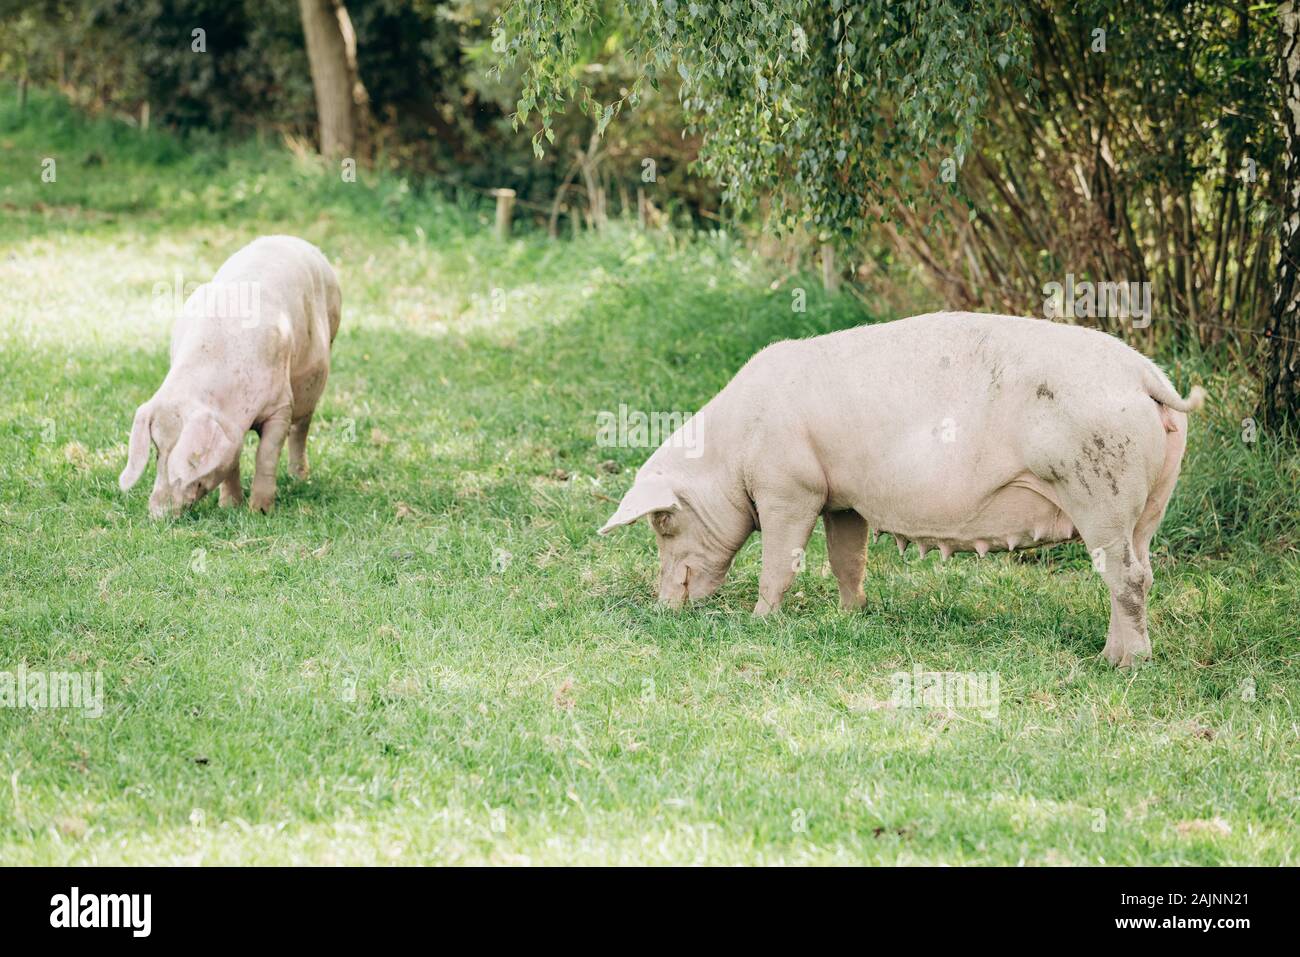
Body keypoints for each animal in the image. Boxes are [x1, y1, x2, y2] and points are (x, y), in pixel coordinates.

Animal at [119, 235, 341, 517]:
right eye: (157, 450)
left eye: (191, 458)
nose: (157, 513)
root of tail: (292, 239)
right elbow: (232, 460)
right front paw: (229, 507)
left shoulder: (281, 405)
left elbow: (266, 455)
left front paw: (259, 511)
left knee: (301, 428)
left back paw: (299, 479)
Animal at [599, 312, 1206, 668]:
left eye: (663, 521)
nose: (662, 605)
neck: (730, 454)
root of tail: (1146, 377)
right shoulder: (841, 499)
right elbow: (848, 559)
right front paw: (851, 616)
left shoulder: (789, 488)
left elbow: (780, 560)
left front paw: (758, 621)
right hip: (1150, 501)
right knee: (1141, 569)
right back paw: (1114, 653)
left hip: (1098, 484)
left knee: (1127, 577)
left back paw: (1123, 665)